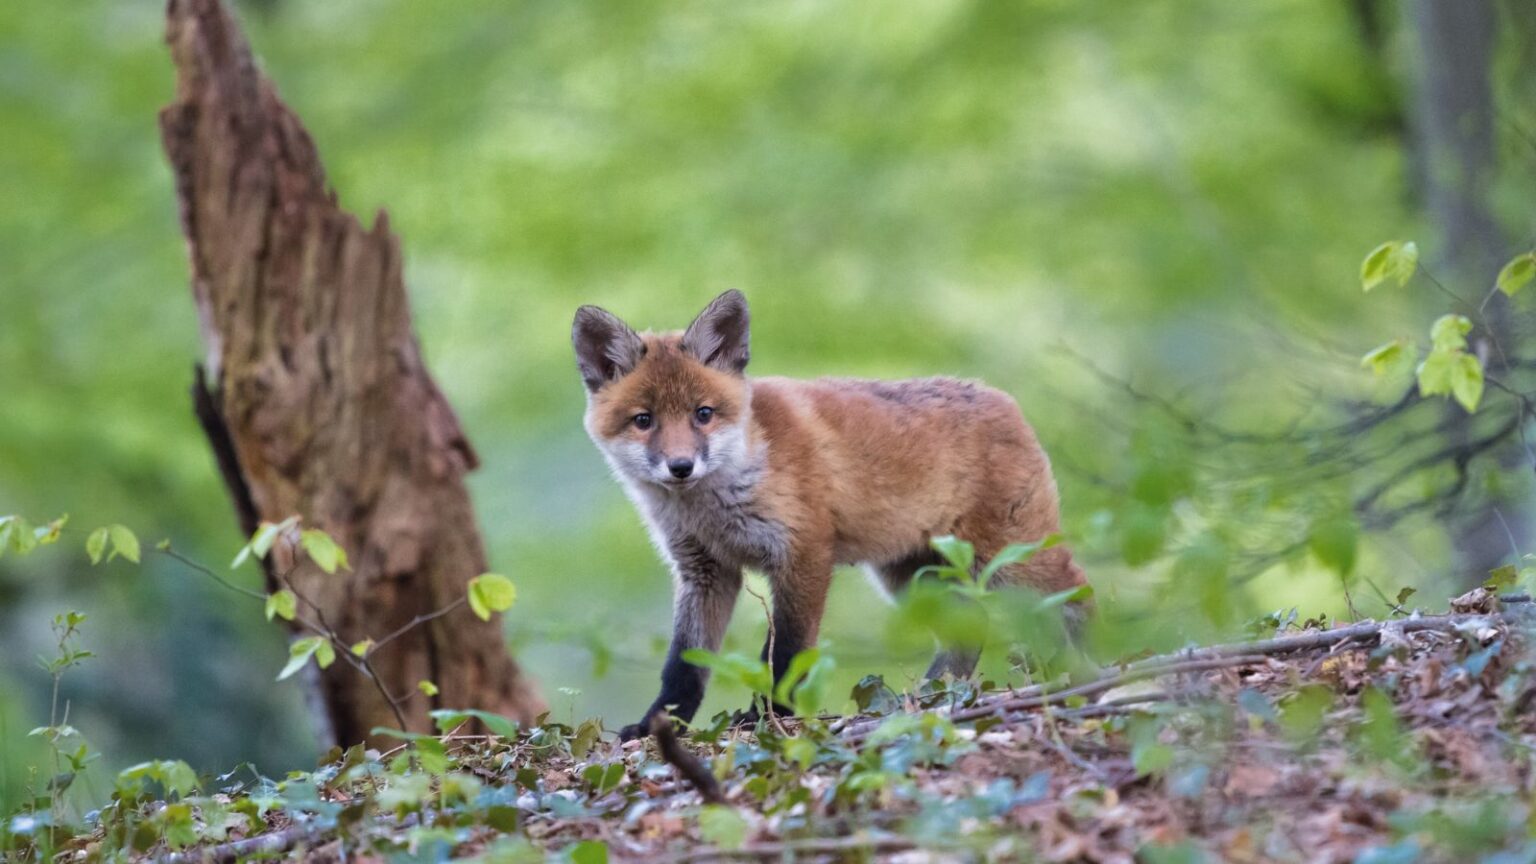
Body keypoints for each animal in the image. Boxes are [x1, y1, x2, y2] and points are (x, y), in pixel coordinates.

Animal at [572, 290, 1088, 740]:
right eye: (644, 420)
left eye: (703, 414)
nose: (681, 467)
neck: (715, 506)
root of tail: (1002, 398)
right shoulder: (704, 571)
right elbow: (683, 667)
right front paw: (658, 725)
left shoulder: (803, 553)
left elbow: (787, 654)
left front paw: (768, 717)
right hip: (913, 579)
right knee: (968, 633)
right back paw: (930, 699)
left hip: (1011, 561)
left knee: (1077, 595)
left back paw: (1082, 670)